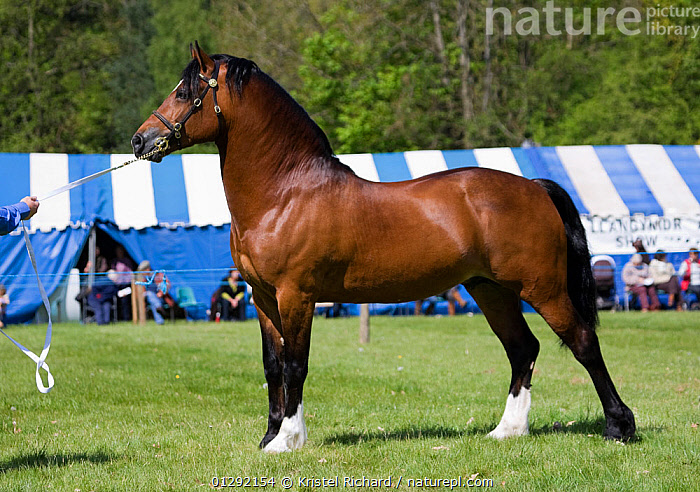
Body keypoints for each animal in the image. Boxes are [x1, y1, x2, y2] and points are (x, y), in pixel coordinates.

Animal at [132, 42, 636, 452]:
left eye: (184, 92)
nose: (141, 140)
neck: (286, 193)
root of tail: (532, 186)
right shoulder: (263, 297)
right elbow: (273, 366)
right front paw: (270, 435)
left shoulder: (297, 296)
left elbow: (296, 365)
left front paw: (289, 440)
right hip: (490, 289)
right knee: (522, 349)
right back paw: (507, 431)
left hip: (542, 288)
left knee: (583, 342)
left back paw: (619, 426)